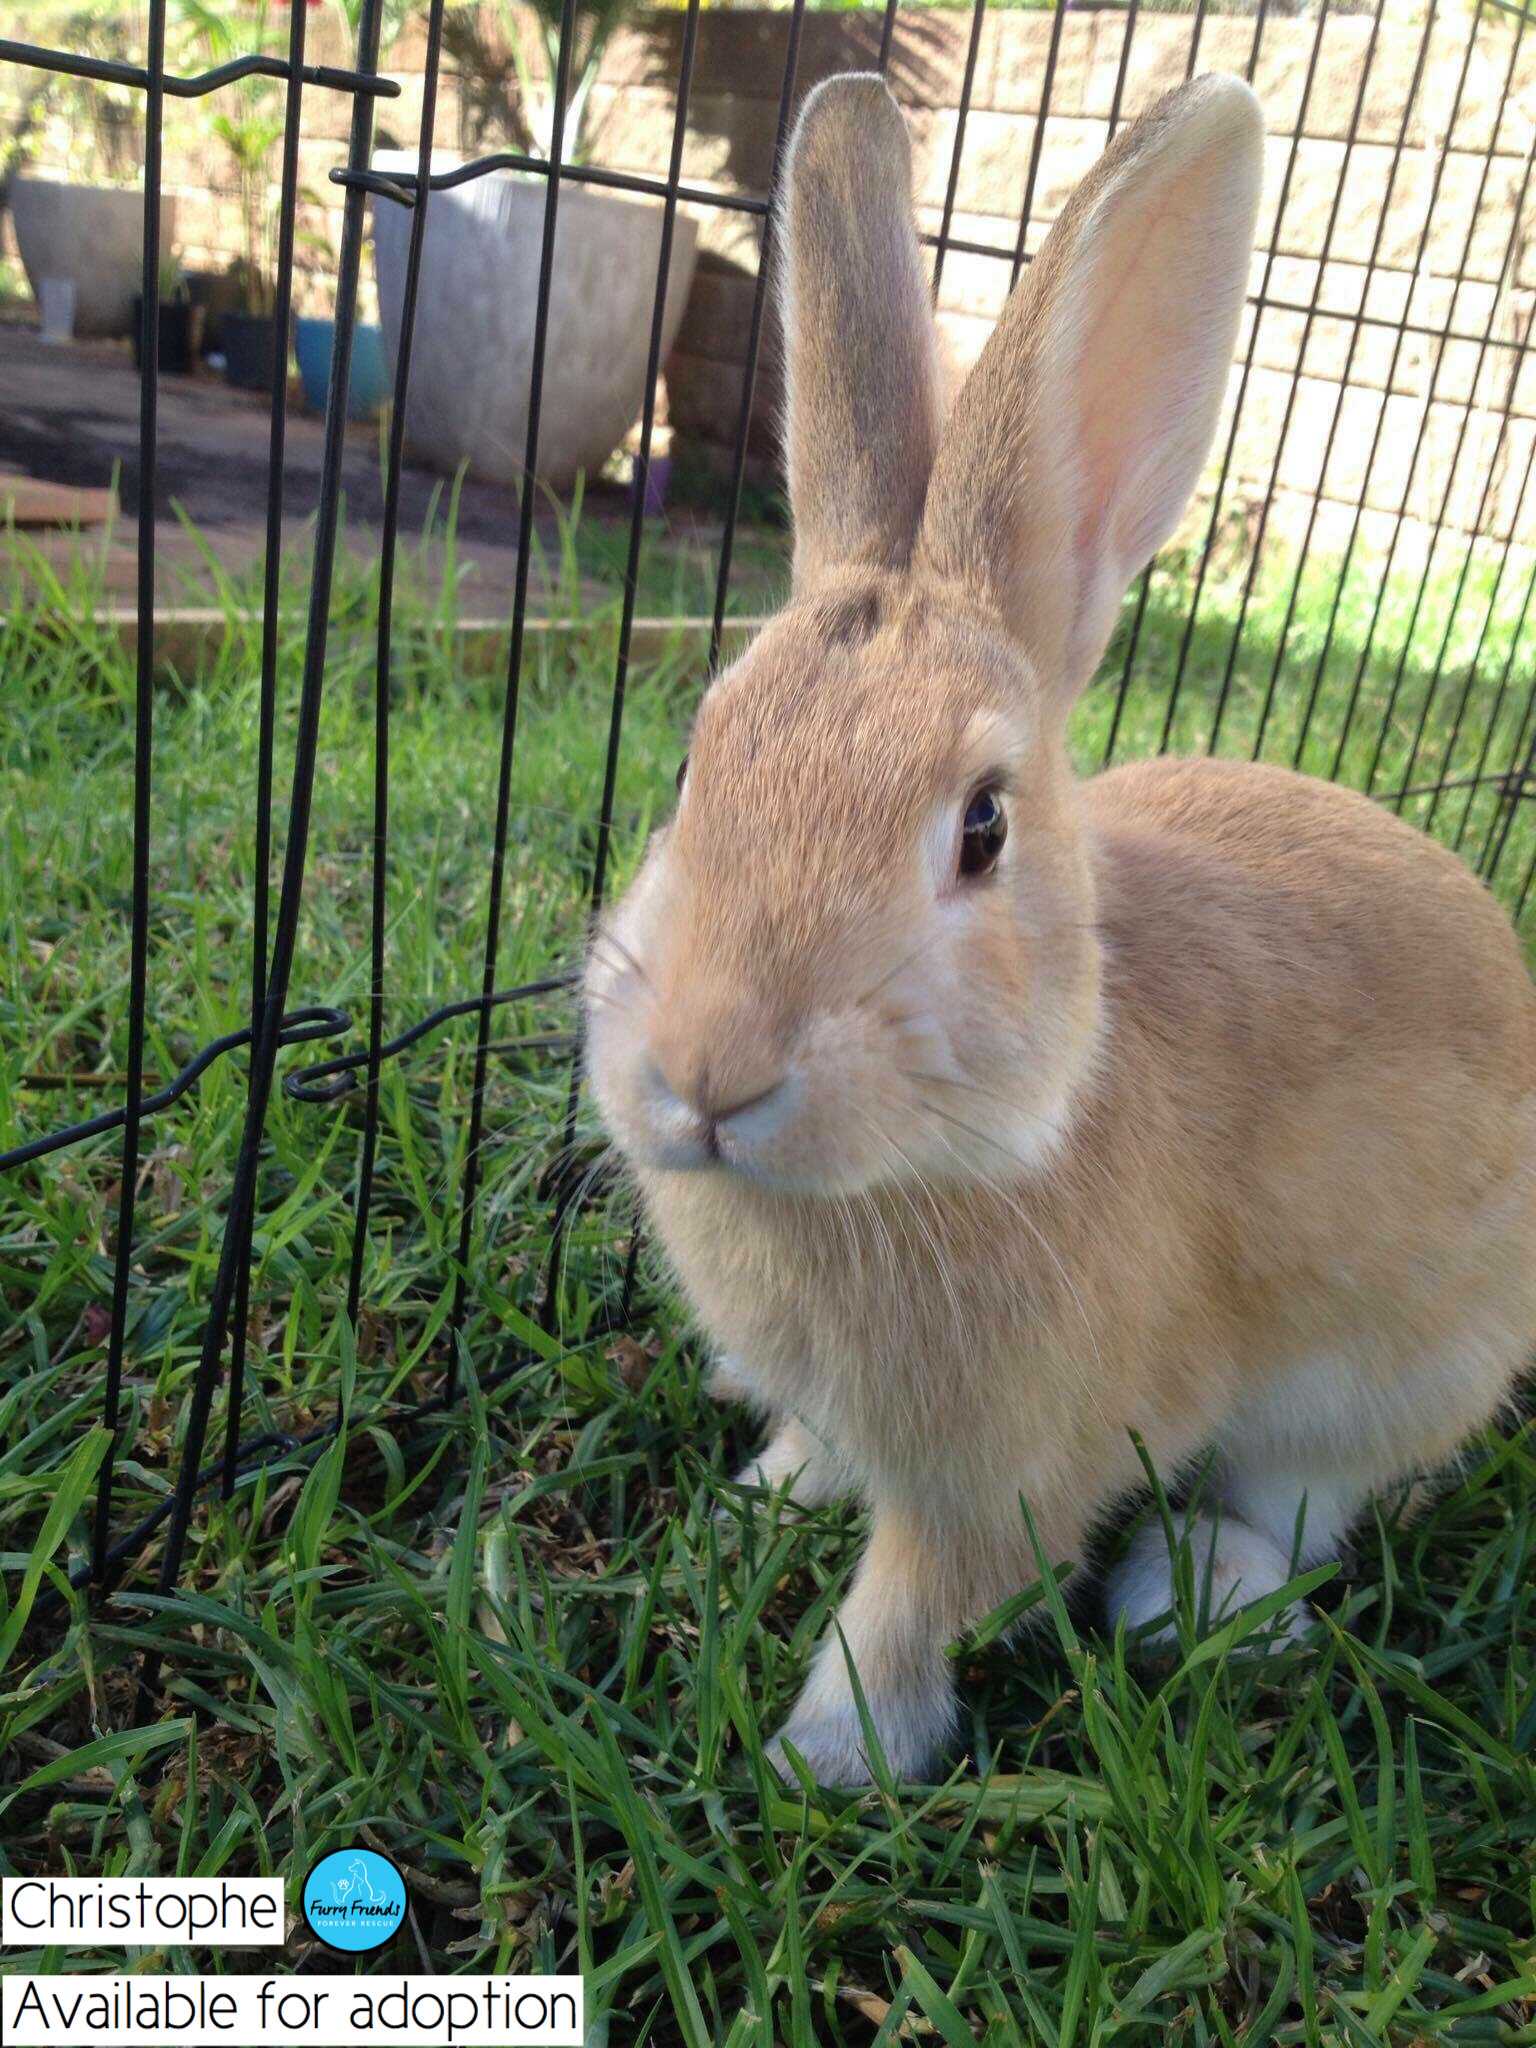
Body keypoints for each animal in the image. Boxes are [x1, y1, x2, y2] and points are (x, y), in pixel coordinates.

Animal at [584, 71, 1536, 1786]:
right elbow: (822, 1465)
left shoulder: (1015, 1470)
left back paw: (1200, 1596)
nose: (704, 1077)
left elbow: (911, 1607)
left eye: (980, 829)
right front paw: (764, 1502)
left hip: (1397, 1370)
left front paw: (823, 1762)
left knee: (1310, 1510)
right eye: (695, 766)